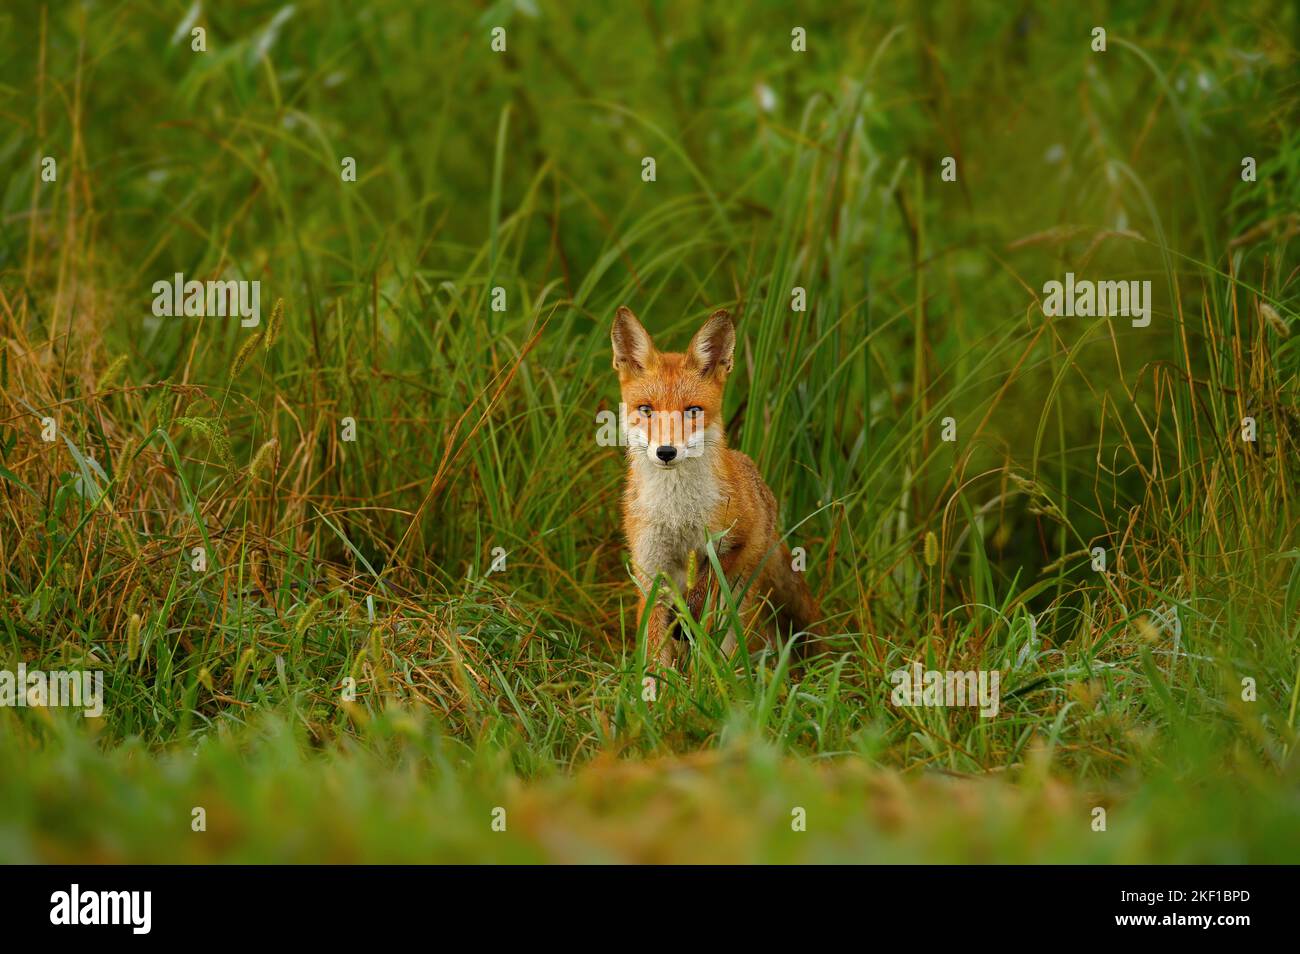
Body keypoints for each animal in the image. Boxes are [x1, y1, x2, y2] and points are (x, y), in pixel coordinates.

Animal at [611, 305, 821, 670]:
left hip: (742, 595)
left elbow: (705, 590)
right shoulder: (651, 569)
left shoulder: (735, 541)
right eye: (646, 410)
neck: (677, 514)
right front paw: (655, 686)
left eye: (692, 411)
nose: (666, 452)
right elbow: (655, 651)